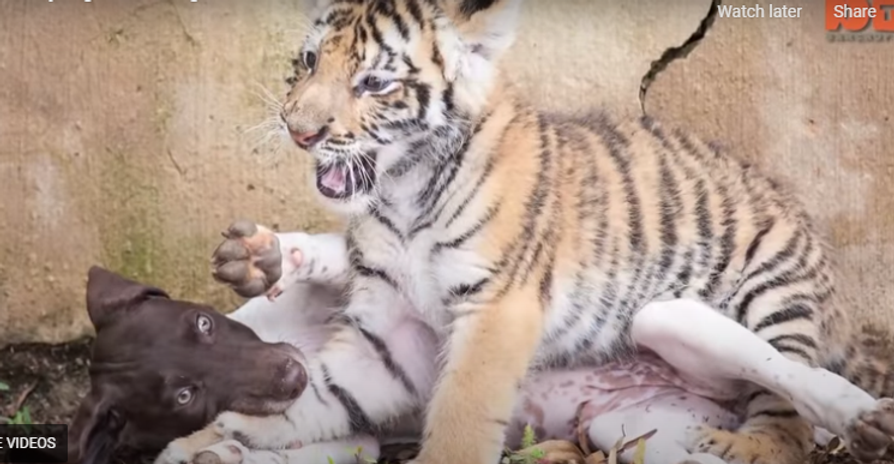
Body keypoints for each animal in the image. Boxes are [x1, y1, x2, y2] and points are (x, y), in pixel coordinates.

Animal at [210, 1, 894, 464]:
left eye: (376, 83)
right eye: (308, 61)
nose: (298, 131)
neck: (402, 192)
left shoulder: (497, 308)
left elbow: (461, 416)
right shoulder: (393, 333)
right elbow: (321, 396)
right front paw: (229, 428)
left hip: (759, 301)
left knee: (790, 404)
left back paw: (815, 432)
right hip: (643, 419)